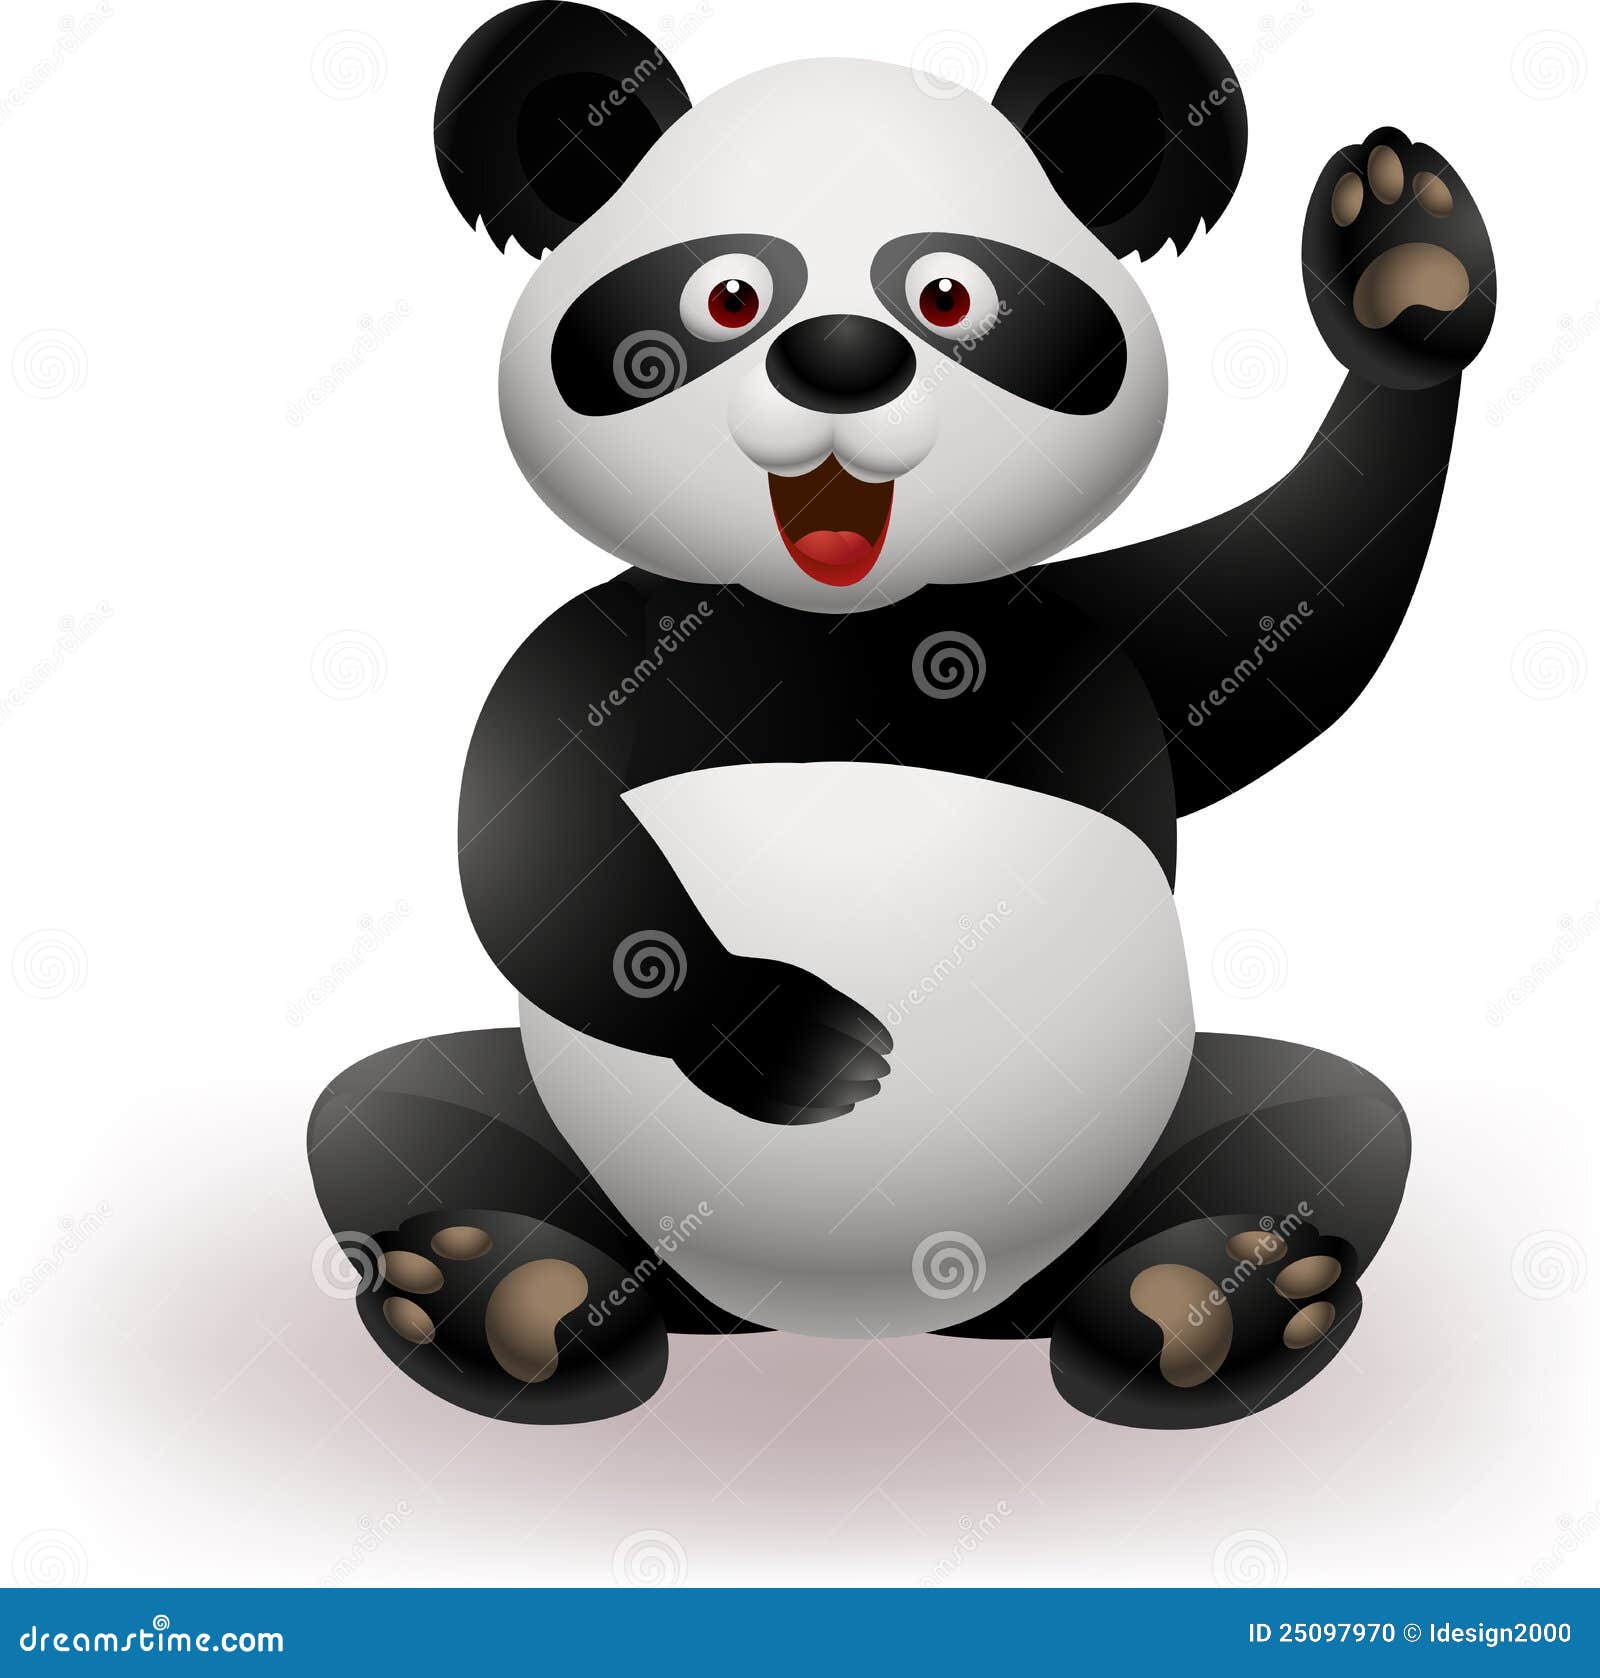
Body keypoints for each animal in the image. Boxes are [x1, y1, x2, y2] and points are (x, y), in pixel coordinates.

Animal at [308, 2, 1494, 1428]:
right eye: (727, 294)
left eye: (946, 295)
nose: (840, 360)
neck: (844, 625)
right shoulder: (583, 655)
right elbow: (533, 862)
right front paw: (796, 1040)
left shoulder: (1089, 642)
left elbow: (1296, 609)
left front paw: (1404, 265)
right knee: (383, 1108)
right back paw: (509, 1296)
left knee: (1327, 1114)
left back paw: (1205, 1304)